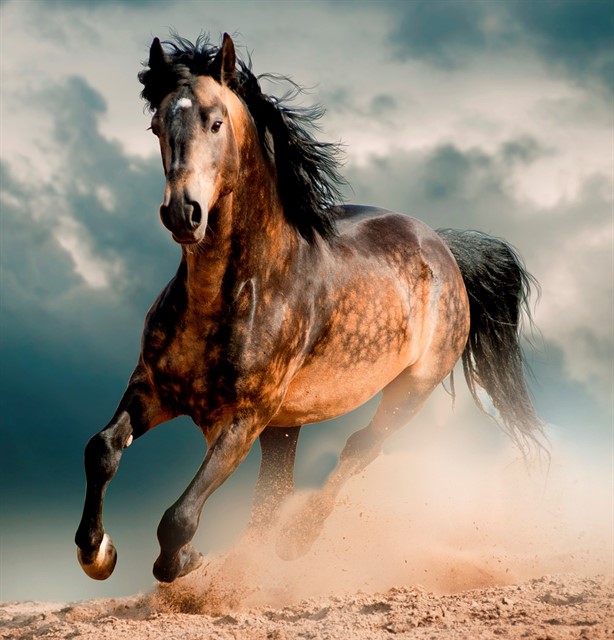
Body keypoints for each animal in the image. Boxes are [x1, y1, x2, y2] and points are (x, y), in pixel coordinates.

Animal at [75, 33, 544, 584]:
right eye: (156, 126)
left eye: (215, 122)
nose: (183, 213)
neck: (230, 295)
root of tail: (443, 248)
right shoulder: (153, 388)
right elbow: (102, 449)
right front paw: (97, 552)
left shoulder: (245, 417)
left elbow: (179, 517)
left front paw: (185, 560)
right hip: (287, 425)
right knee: (273, 494)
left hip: (410, 390)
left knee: (359, 448)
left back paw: (295, 542)